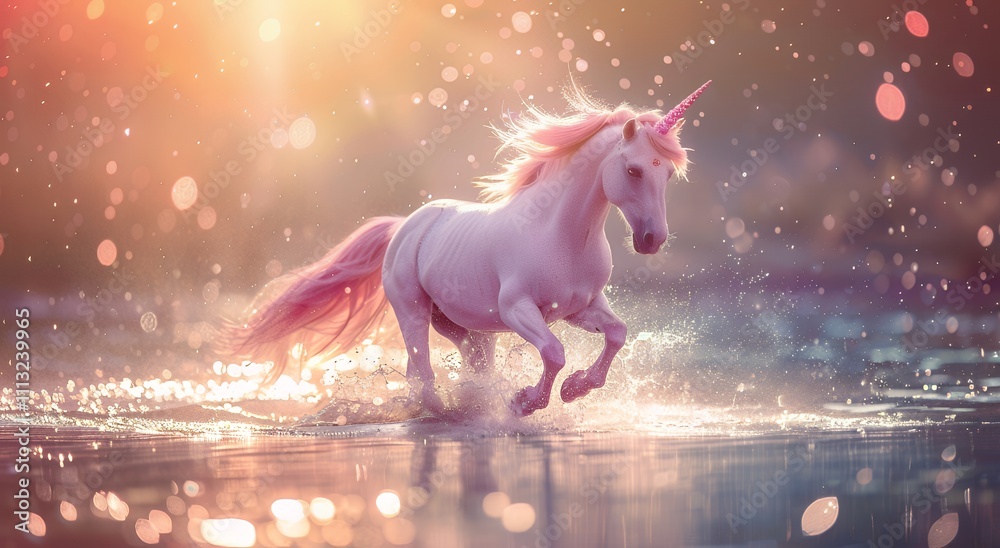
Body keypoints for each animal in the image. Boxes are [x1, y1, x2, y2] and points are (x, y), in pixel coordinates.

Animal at [222, 80, 711, 416]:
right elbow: (554, 352)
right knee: (420, 371)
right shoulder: (519, 309)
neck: (562, 234)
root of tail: (406, 226)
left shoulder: (581, 307)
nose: (652, 240)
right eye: (632, 170)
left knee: (467, 366)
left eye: (667, 173)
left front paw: (575, 388)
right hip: (412, 311)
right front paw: (525, 402)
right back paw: (437, 411)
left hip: (466, 329)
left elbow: (617, 334)